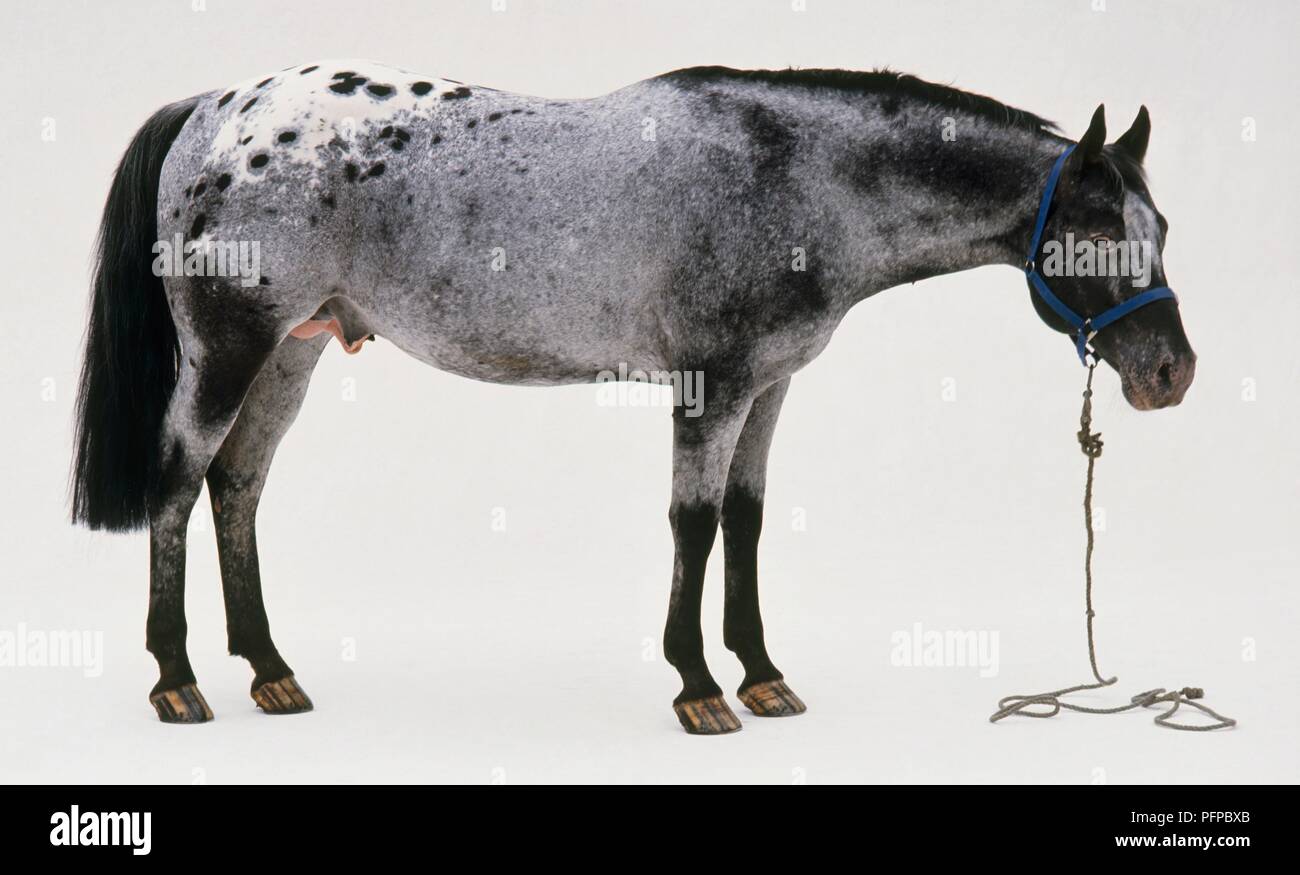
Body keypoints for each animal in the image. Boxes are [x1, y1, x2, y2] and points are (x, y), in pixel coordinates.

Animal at [71, 61, 1194, 734]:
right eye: (1098, 226)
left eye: (1163, 224)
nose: (1170, 373)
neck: (793, 174)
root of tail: (214, 109)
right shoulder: (714, 383)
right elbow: (692, 522)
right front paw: (698, 686)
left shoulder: (767, 387)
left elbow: (743, 518)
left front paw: (760, 671)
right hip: (231, 350)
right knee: (179, 485)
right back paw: (177, 679)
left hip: (292, 354)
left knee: (239, 489)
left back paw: (269, 667)